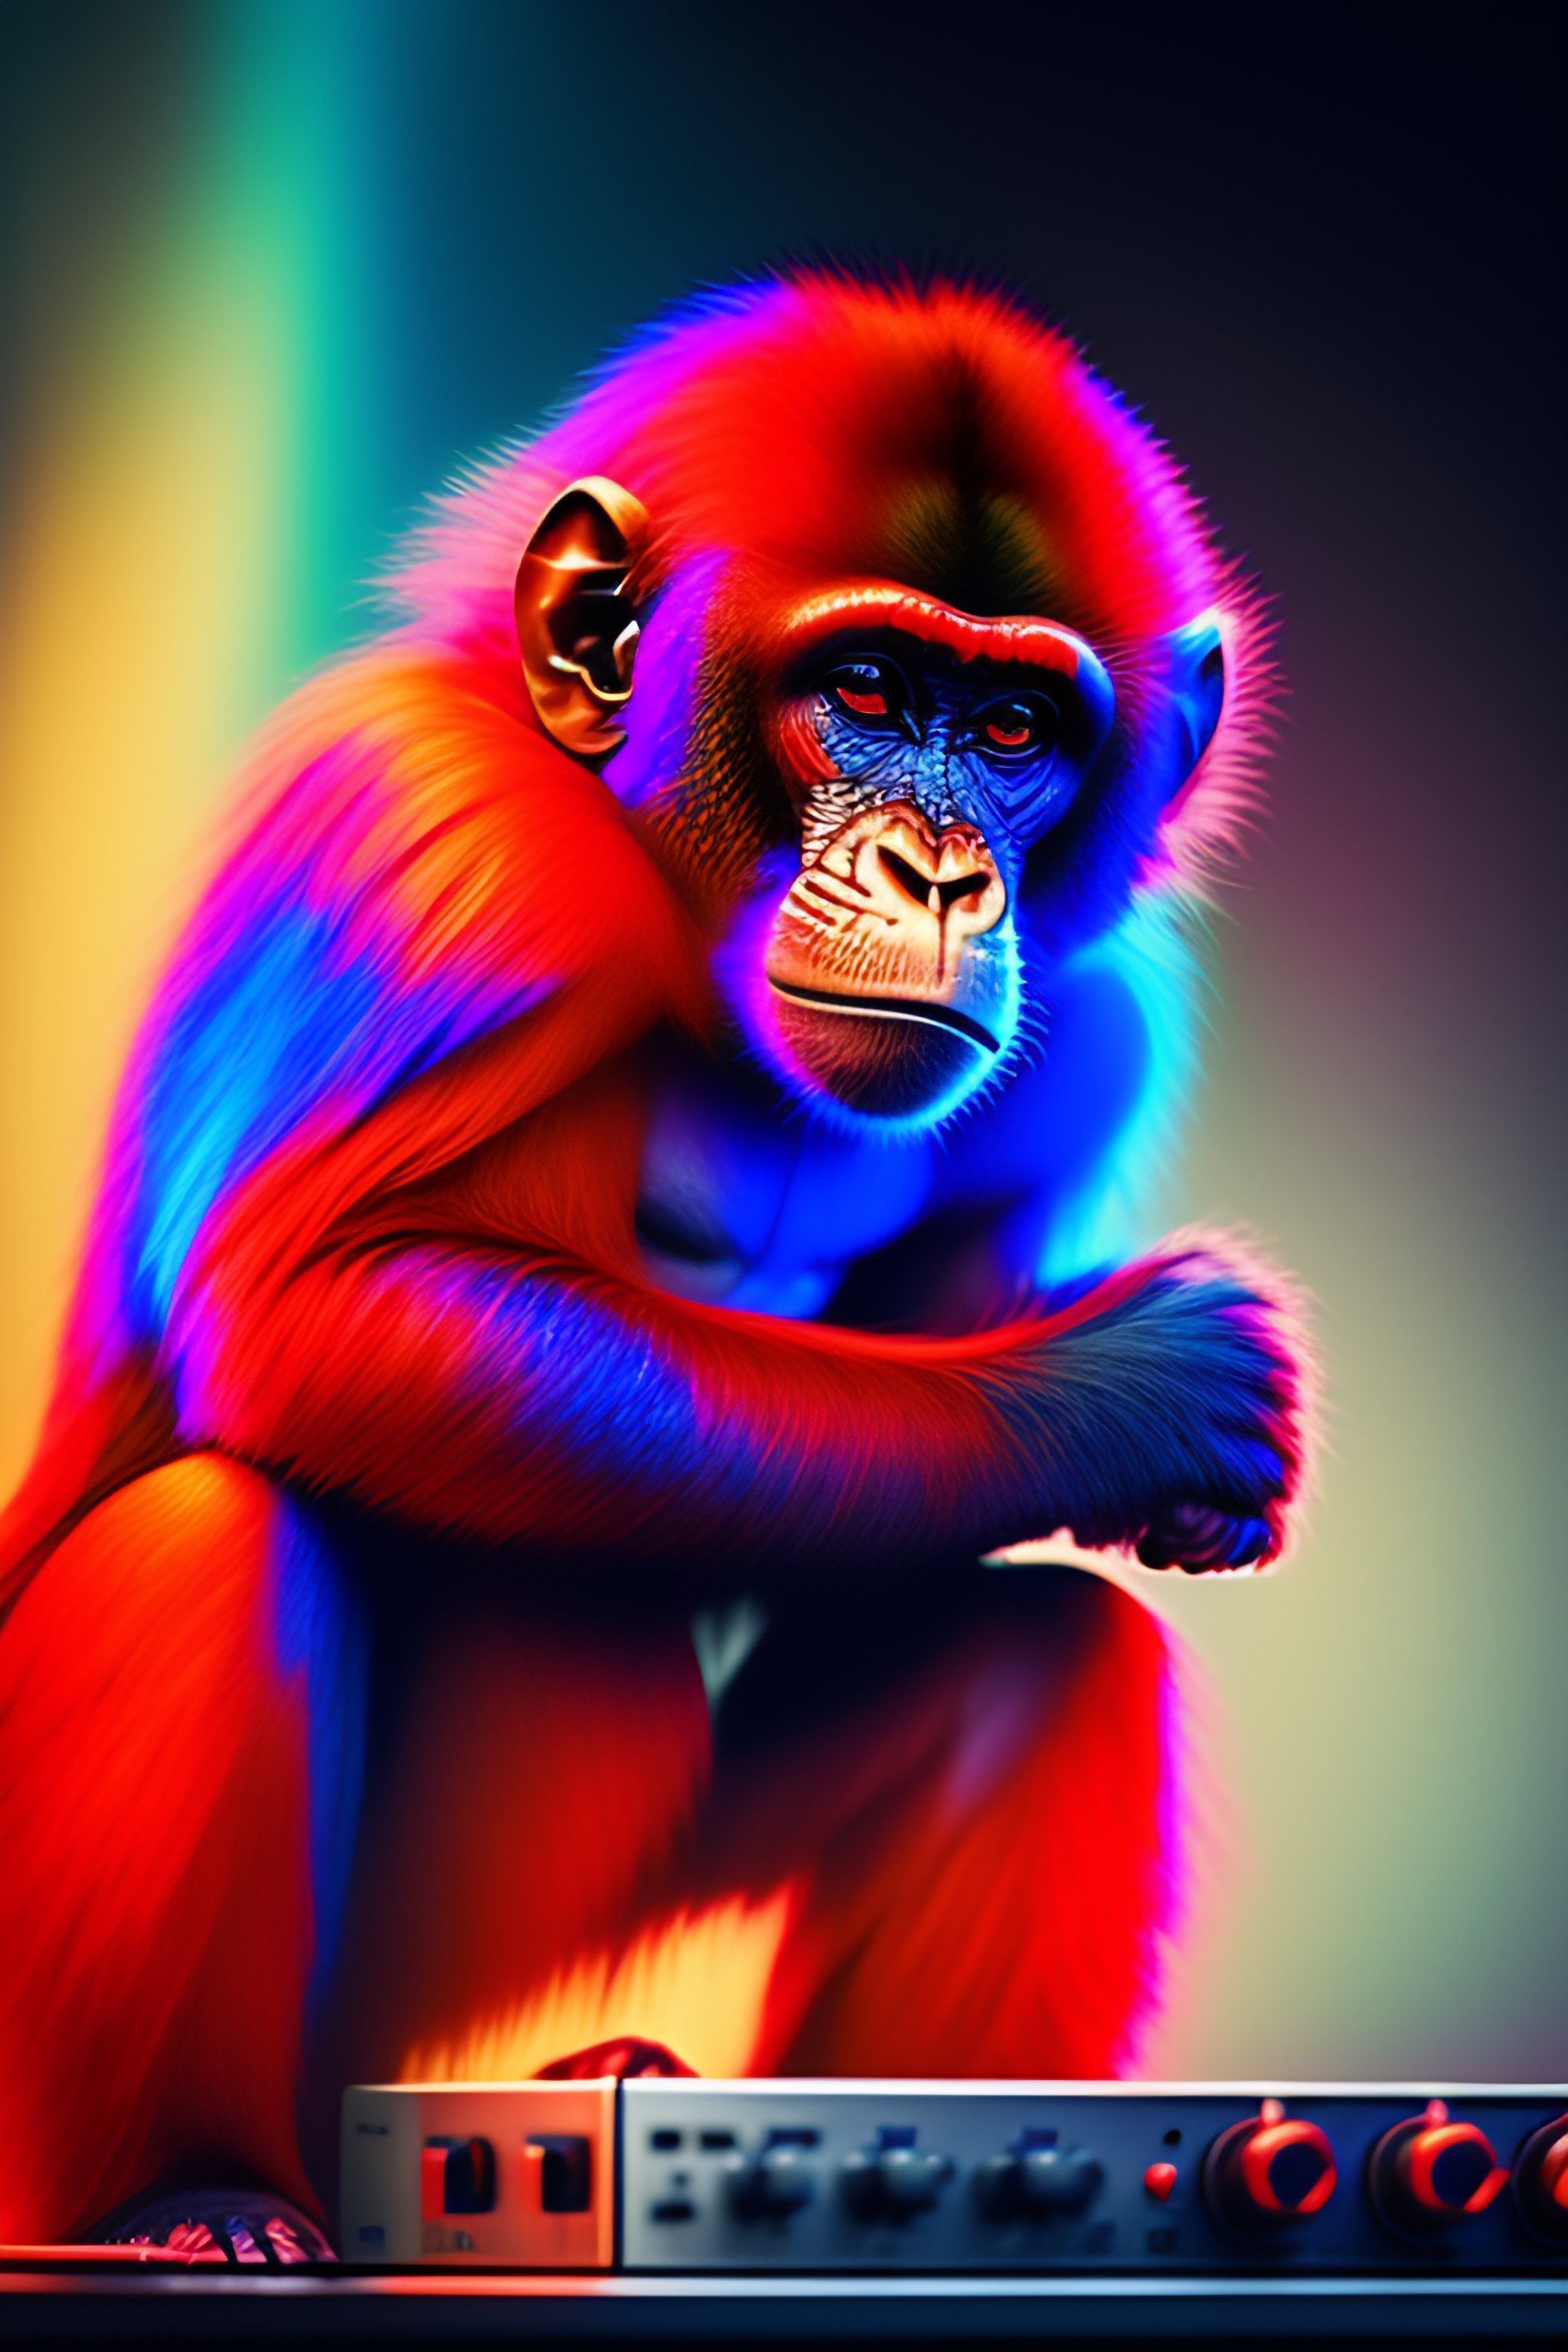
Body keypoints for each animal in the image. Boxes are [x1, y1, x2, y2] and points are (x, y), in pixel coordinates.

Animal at [0, 267, 1310, 2251]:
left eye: (1014, 728)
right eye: (867, 691)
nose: (940, 873)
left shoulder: (1090, 1034)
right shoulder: (439, 835)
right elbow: (328, 1305)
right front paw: (1143, 1391)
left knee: (1049, 1664)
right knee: (219, 1534)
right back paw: (190, 2185)